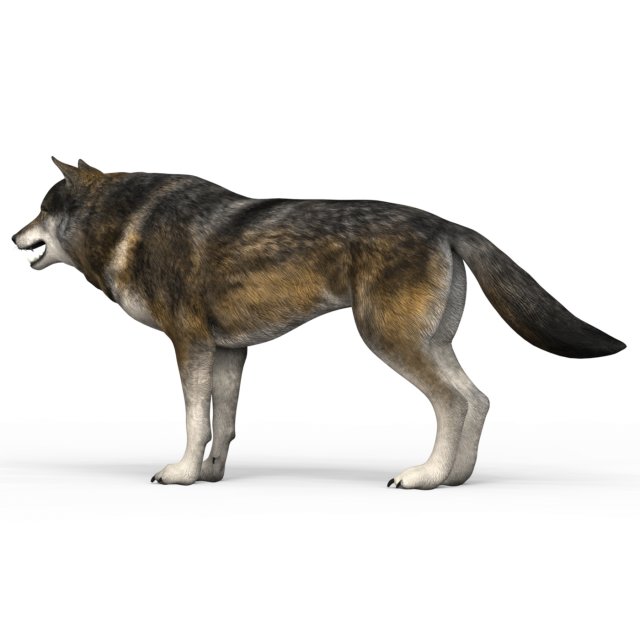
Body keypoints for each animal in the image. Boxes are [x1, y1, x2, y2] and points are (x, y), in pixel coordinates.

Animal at [12, 158, 625, 488]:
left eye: (41, 210)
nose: (14, 236)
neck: (123, 222)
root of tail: (446, 224)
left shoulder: (189, 345)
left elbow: (194, 421)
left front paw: (181, 472)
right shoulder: (229, 350)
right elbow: (223, 422)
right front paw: (210, 475)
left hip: (389, 340)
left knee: (455, 401)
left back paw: (424, 477)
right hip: (425, 342)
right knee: (478, 398)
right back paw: (455, 476)